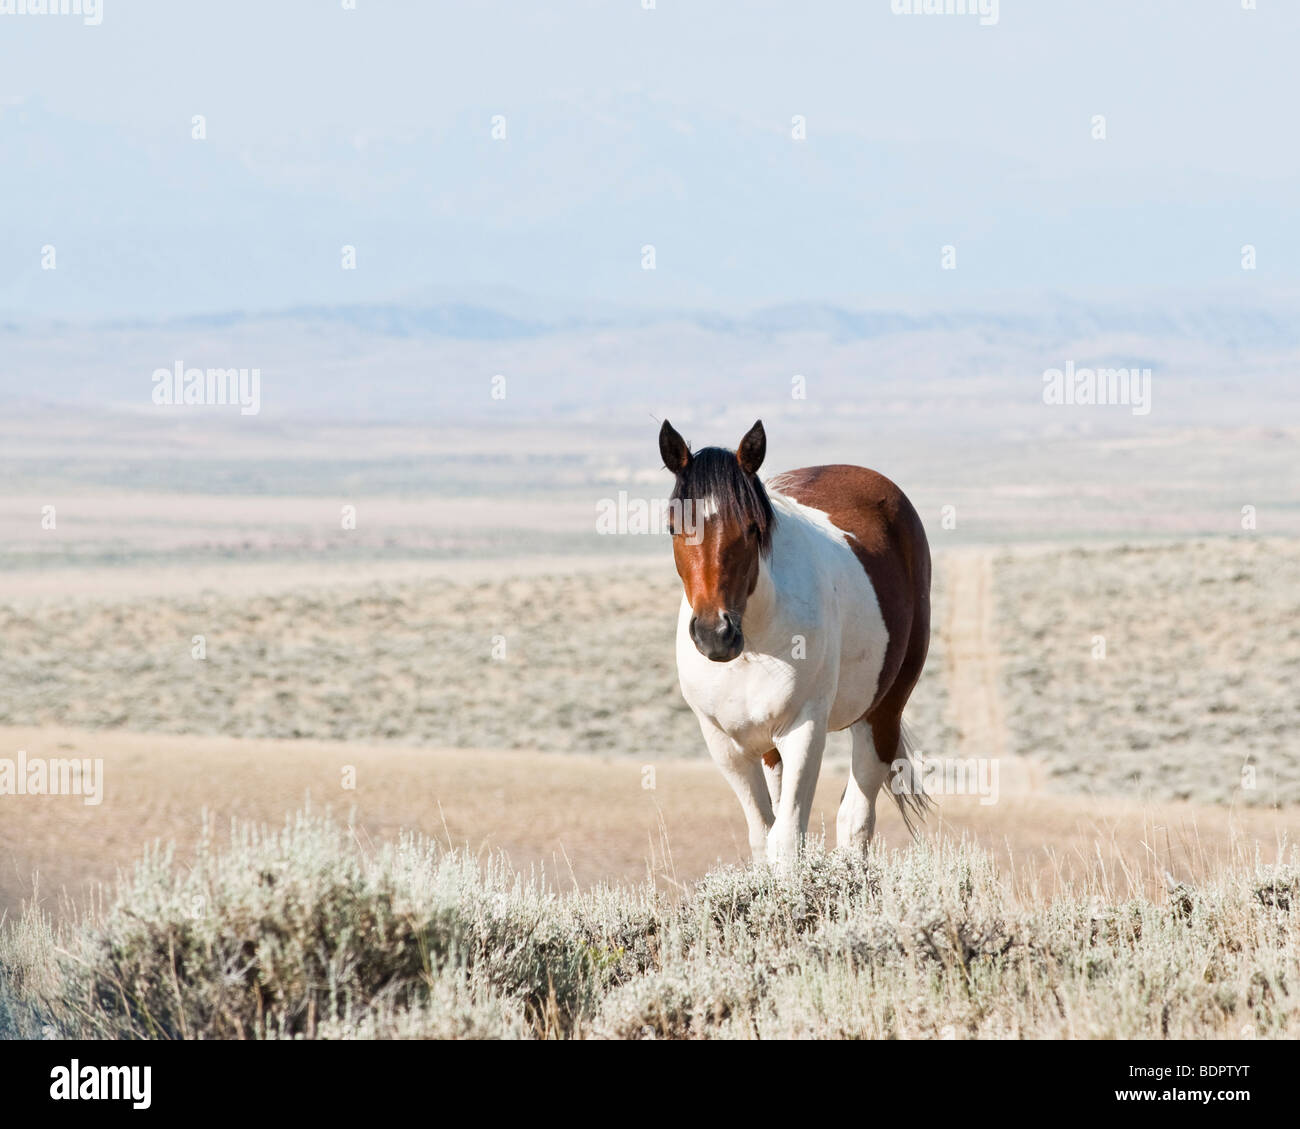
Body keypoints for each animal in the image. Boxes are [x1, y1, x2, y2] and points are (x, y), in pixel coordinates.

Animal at [659, 418, 932, 865]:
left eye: (752, 528)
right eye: (673, 527)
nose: (716, 635)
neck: (753, 645)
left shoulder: (803, 730)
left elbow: (787, 839)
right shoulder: (725, 745)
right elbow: (762, 836)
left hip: (881, 713)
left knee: (856, 820)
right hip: (772, 749)